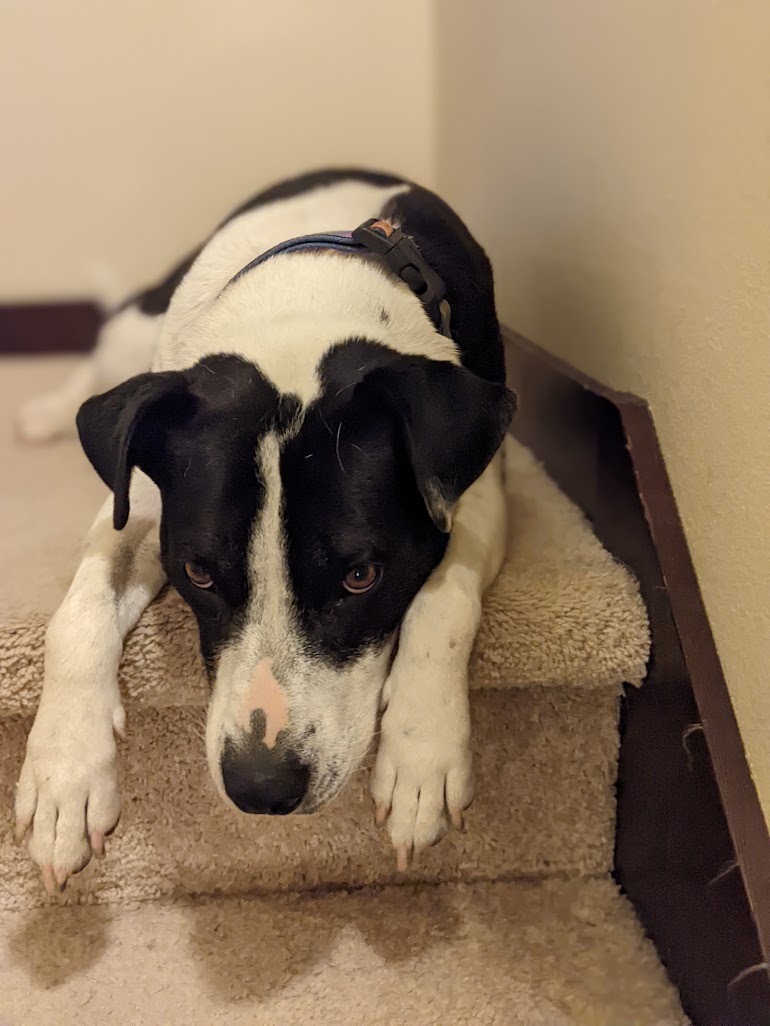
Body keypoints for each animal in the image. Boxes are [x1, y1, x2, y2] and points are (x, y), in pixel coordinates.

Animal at [14, 168, 515, 894]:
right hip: (135, 337)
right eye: (198, 572)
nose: (261, 788)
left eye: (362, 575)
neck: (307, 302)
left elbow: (445, 599)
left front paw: (423, 754)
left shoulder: (478, 486)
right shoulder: (141, 501)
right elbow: (77, 616)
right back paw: (45, 413)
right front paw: (64, 776)